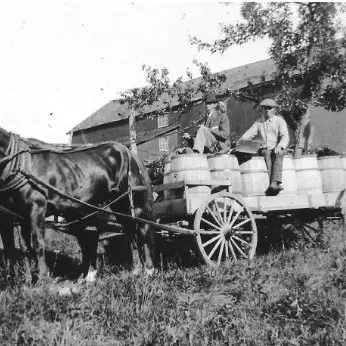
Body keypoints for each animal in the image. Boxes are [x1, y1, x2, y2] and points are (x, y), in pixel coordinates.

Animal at [0, 127, 154, 284]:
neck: (20, 165)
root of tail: (129, 153)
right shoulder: (16, 216)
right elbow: (21, 248)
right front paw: (25, 281)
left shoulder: (37, 207)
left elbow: (38, 243)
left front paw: (43, 279)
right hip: (116, 206)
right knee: (129, 233)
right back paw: (134, 270)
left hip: (132, 201)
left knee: (143, 230)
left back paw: (148, 270)